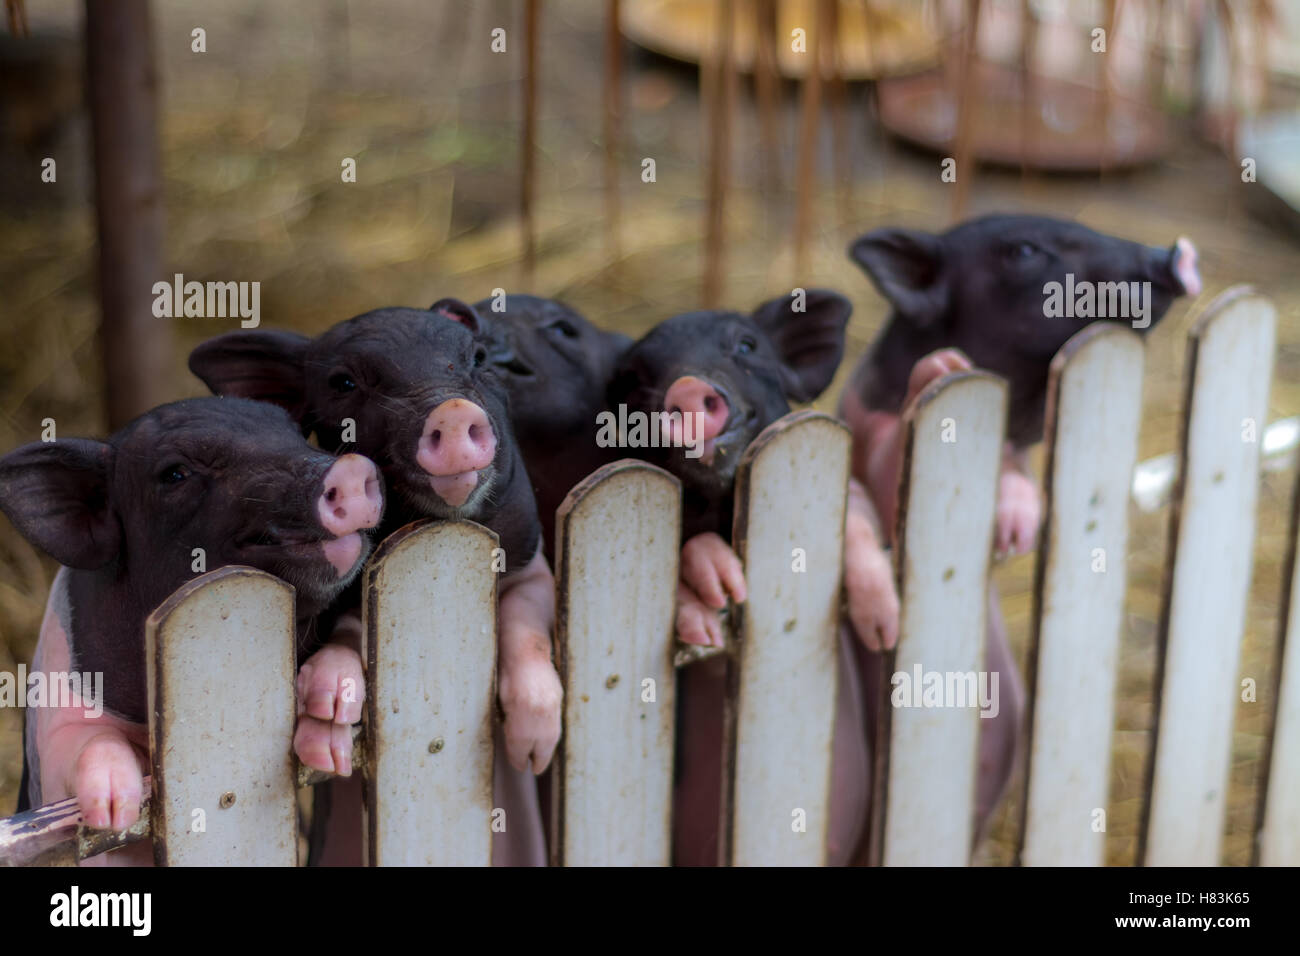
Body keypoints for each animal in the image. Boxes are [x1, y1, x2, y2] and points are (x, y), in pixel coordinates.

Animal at [0, 397, 384, 865]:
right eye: (175, 474)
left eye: (296, 433)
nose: (350, 467)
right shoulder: (57, 712)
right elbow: (85, 743)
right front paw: (115, 807)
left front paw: (330, 735)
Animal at [188, 300, 562, 866]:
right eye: (344, 382)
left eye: (476, 358)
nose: (452, 411)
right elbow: (346, 633)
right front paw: (325, 723)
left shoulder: (531, 563)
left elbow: (525, 626)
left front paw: (534, 749)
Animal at [606, 289, 900, 866]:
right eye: (633, 378)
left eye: (746, 345)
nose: (687, 386)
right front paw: (715, 598)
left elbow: (857, 521)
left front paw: (884, 624)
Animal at [839, 214, 1201, 845]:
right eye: (1024, 250)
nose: (1170, 255)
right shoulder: (867, 448)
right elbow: (877, 480)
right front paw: (942, 368)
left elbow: (1022, 481)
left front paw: (1016, 535)